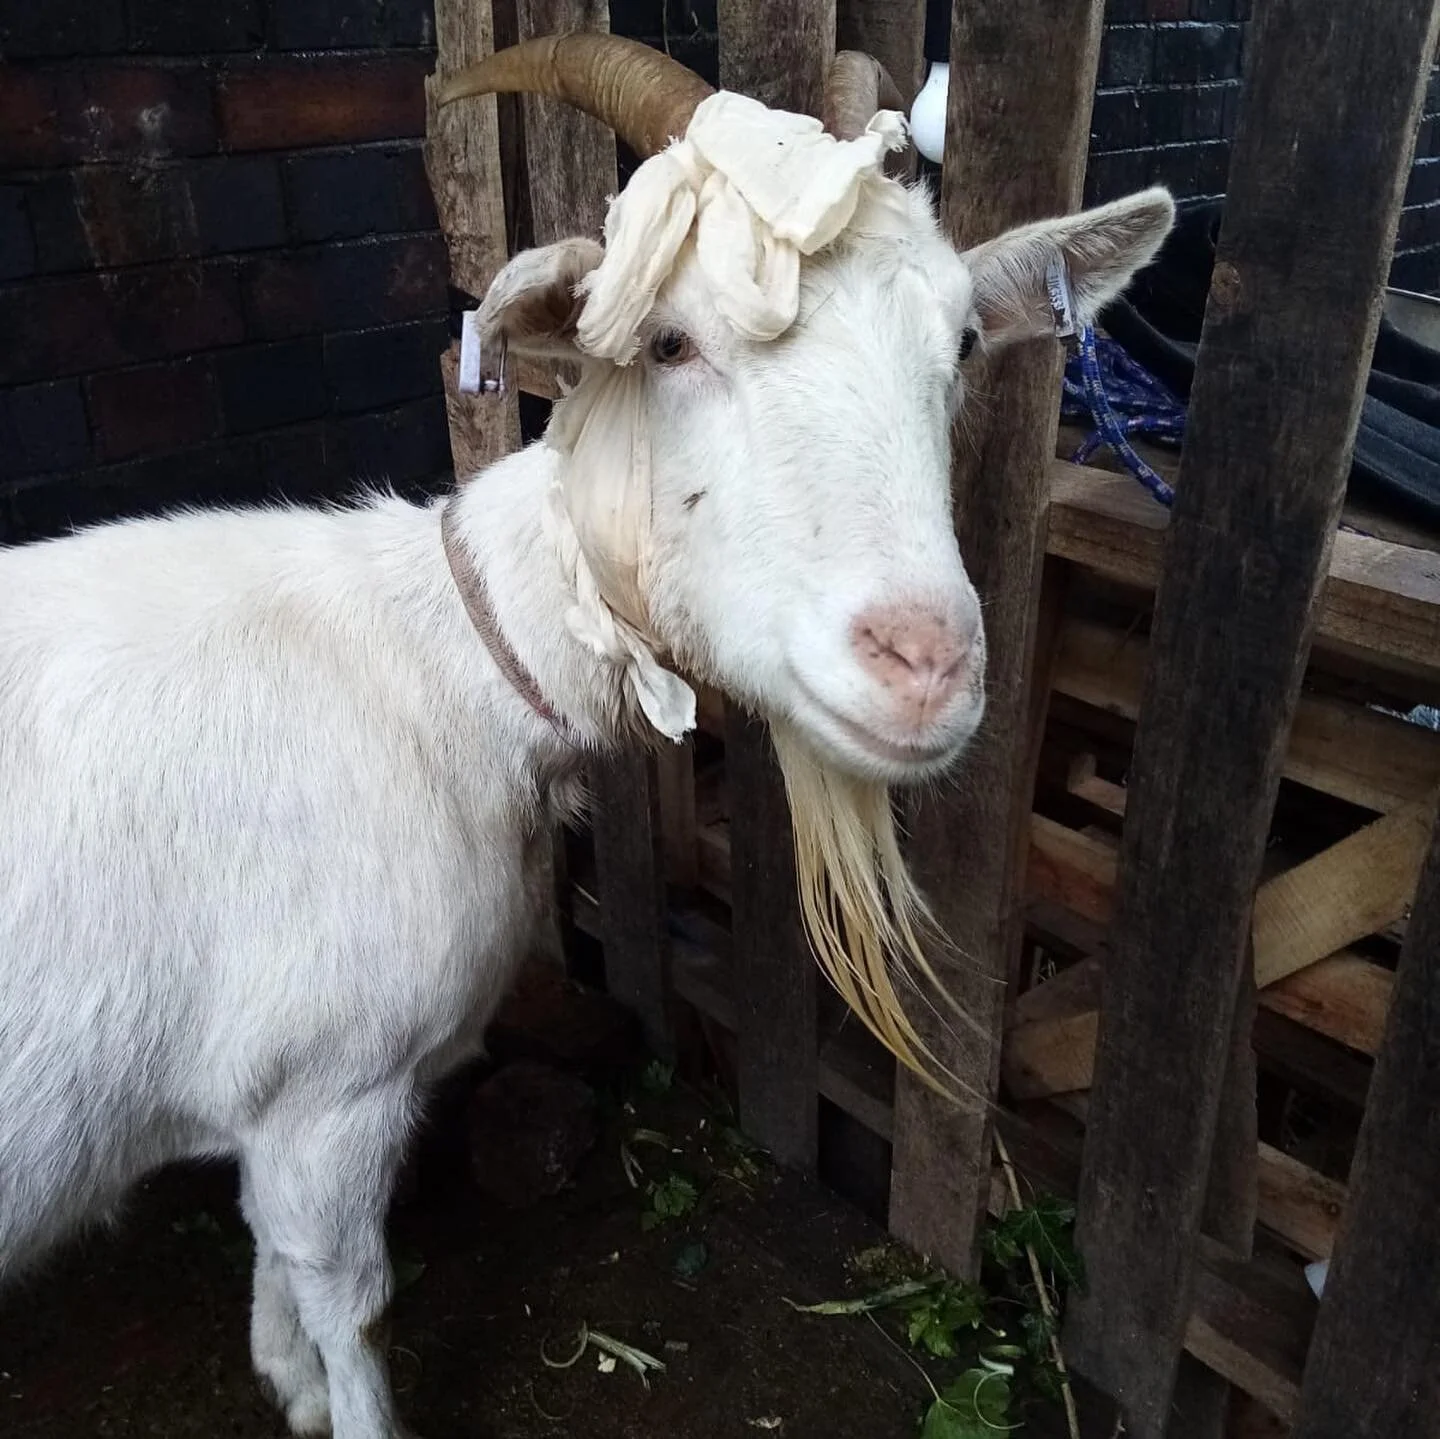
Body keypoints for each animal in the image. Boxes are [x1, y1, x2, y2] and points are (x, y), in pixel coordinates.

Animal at [0, 34, 1174, 1439]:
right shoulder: (333, 1090)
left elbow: (275, 1260)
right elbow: (351, 1300)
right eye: (669, 338)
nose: (926, 664)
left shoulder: (271, 1101)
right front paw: (345, 1403)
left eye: (959, 343)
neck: (443, 665)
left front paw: (282, 1378)